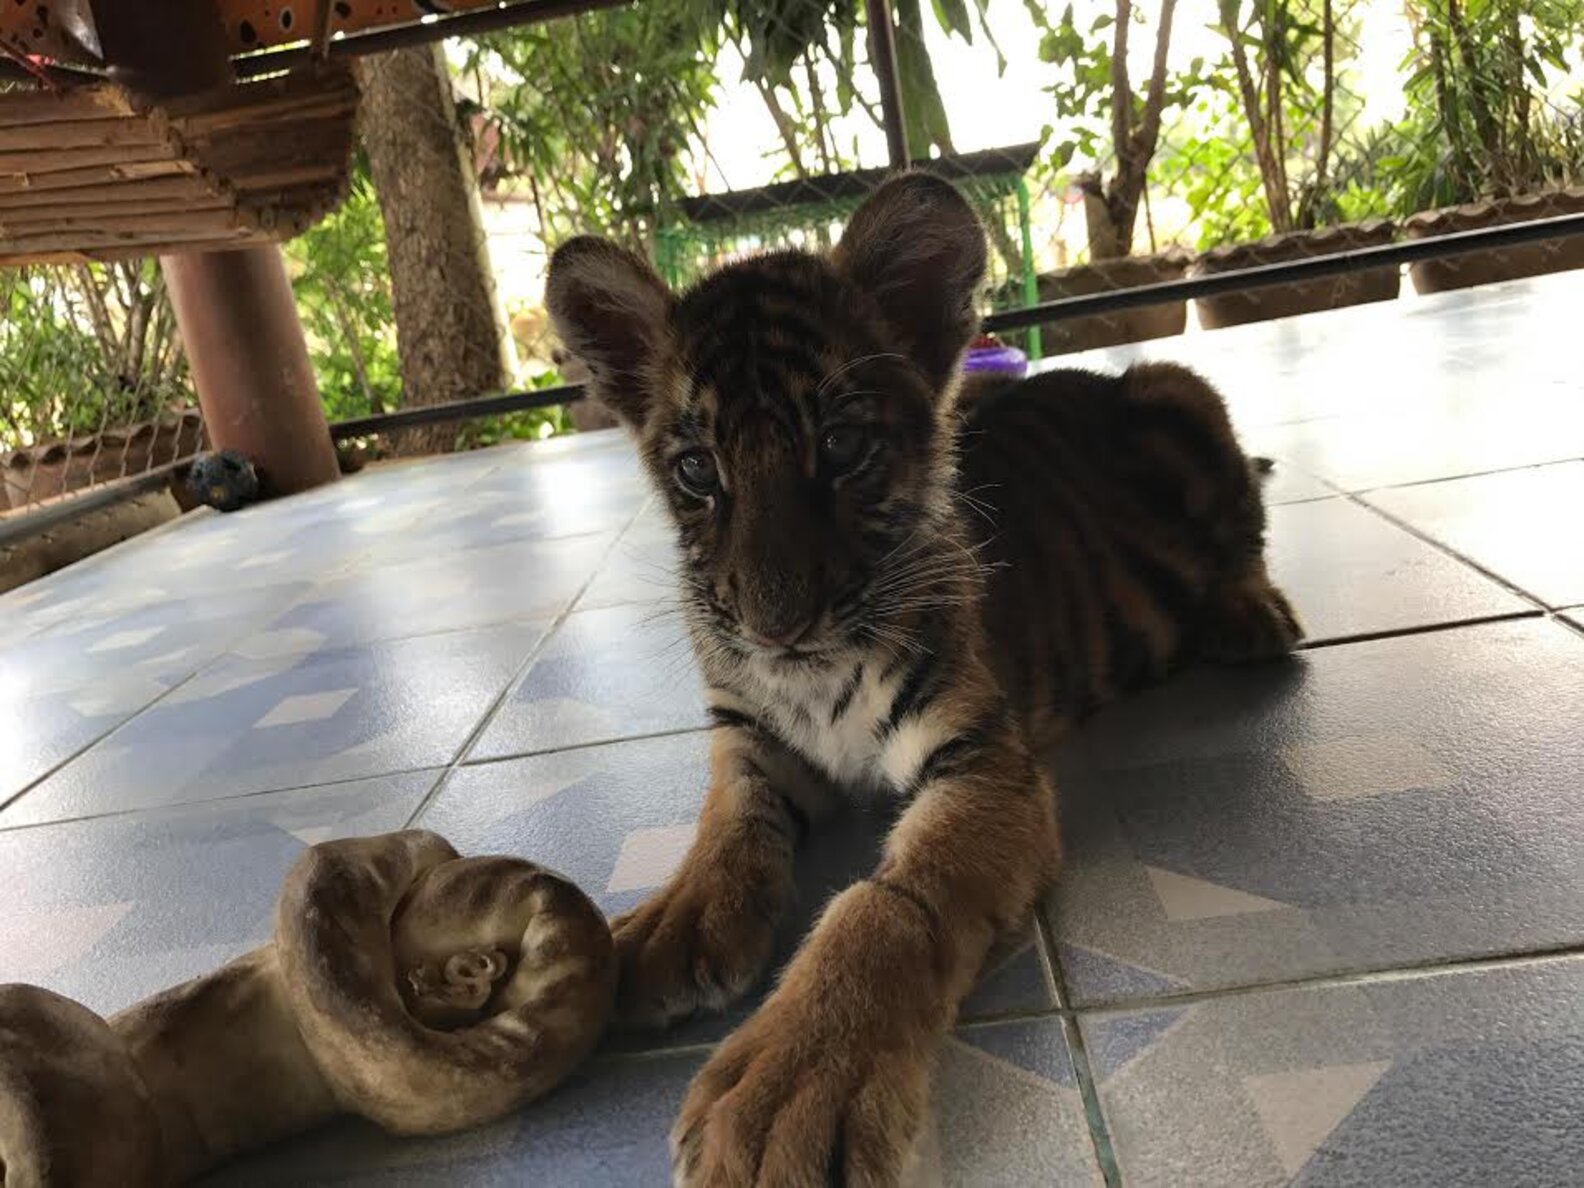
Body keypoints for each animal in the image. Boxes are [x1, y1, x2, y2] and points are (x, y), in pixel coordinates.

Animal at [546, 173, 1301, 1186]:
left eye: (839, 448)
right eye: (698, 470)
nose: (775, 627)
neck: (813, 678)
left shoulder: (980, 762)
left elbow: (888, 903)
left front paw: (787, 1090)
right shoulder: (748, 741)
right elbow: (725, 831)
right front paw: (666, 930)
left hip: (1182, 390)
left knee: (1247, 533)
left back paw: (1252, 616)